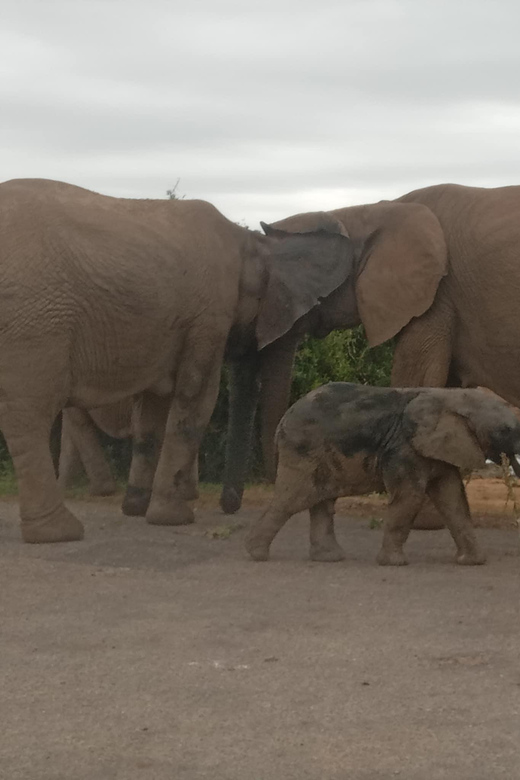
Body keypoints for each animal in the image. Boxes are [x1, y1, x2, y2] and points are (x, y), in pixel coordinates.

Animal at [0, 178, 356, 543]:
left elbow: (151, 410)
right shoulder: (209, 314)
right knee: (30, 414)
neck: (250, 242)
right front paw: (173, 518)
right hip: (36, 318)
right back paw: (60, 532)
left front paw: (136, 509)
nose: (231, 507)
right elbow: (197, 397)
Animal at [245, 383, 520, 565]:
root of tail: (284, 418)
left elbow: (453, 499)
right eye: (506, 430)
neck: (452, 396)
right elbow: (410, 497)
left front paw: (472, 562)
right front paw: (394, 563)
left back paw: (329, 558)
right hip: (302, 450)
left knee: (322, 502)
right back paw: (255, 555)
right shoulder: (404, 447)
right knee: (292, 500)